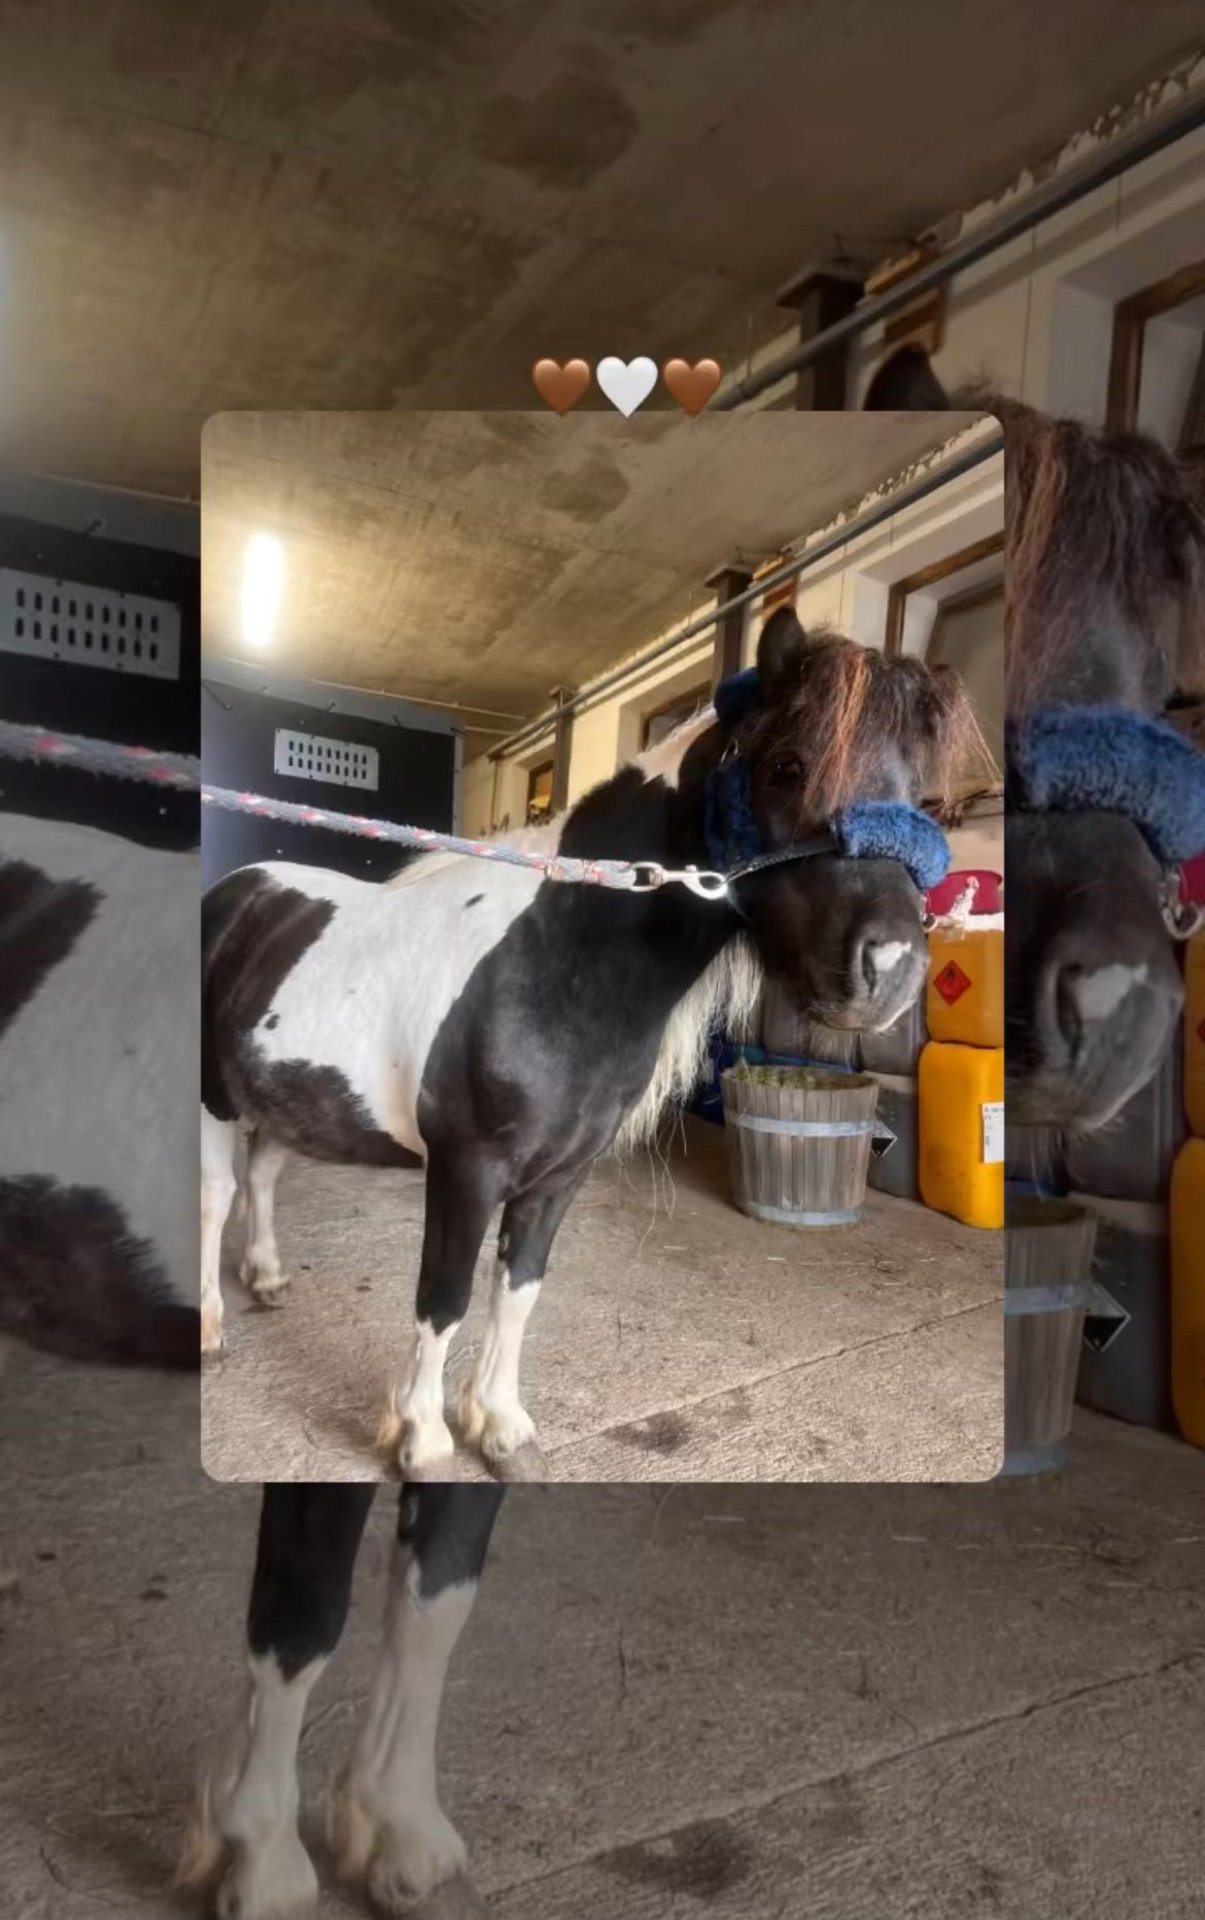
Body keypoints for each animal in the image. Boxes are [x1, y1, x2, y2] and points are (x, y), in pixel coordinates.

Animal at [201, 608, 979, 1479]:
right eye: (788, 764)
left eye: (920, 793)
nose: (891, 970)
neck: (556, 957)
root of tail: (238, 893)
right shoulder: (466, 1170)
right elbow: (445, 1297)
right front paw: (423, 1439)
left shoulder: (559, 1176)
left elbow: (518, 1291)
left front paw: (500, 1429)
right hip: (211, 1096)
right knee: (216, 1195)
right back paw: (208, 1329)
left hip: (286, 1100)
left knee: (262, 1175)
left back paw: (267, 1278)